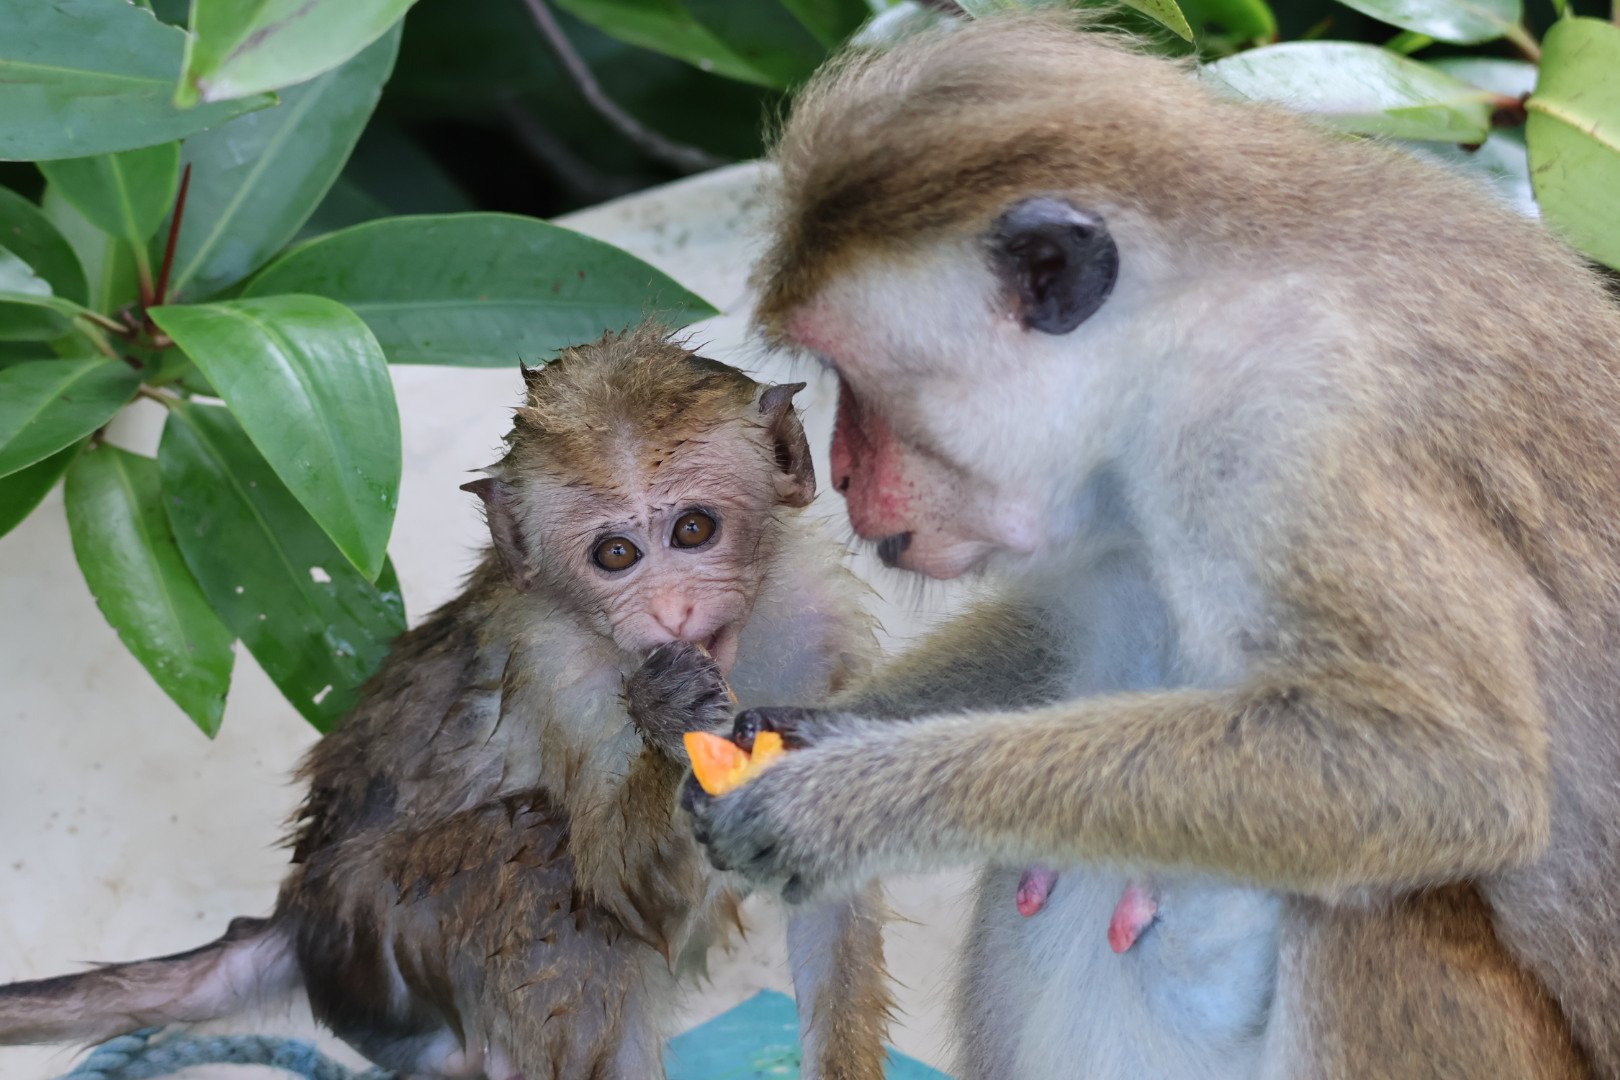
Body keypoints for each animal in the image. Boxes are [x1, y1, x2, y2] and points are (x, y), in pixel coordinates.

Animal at [0, 324, 894, 1080]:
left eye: (695, 529)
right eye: (615, 554)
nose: (672, 612)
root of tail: (298, 913)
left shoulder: (822, 632)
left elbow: (830, 873)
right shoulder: (558, 668)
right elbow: (620, 893)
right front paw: (674, 715)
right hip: (374, 941)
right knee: (533, 859)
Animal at [677, 15, 1620, 1079]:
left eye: (853, 377)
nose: (840, 473)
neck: (1180, 333)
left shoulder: (1294, 427)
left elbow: (1447, 772)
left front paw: (843, 802)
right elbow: (1049, 638)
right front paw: (807, 726)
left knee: (1365, 909)